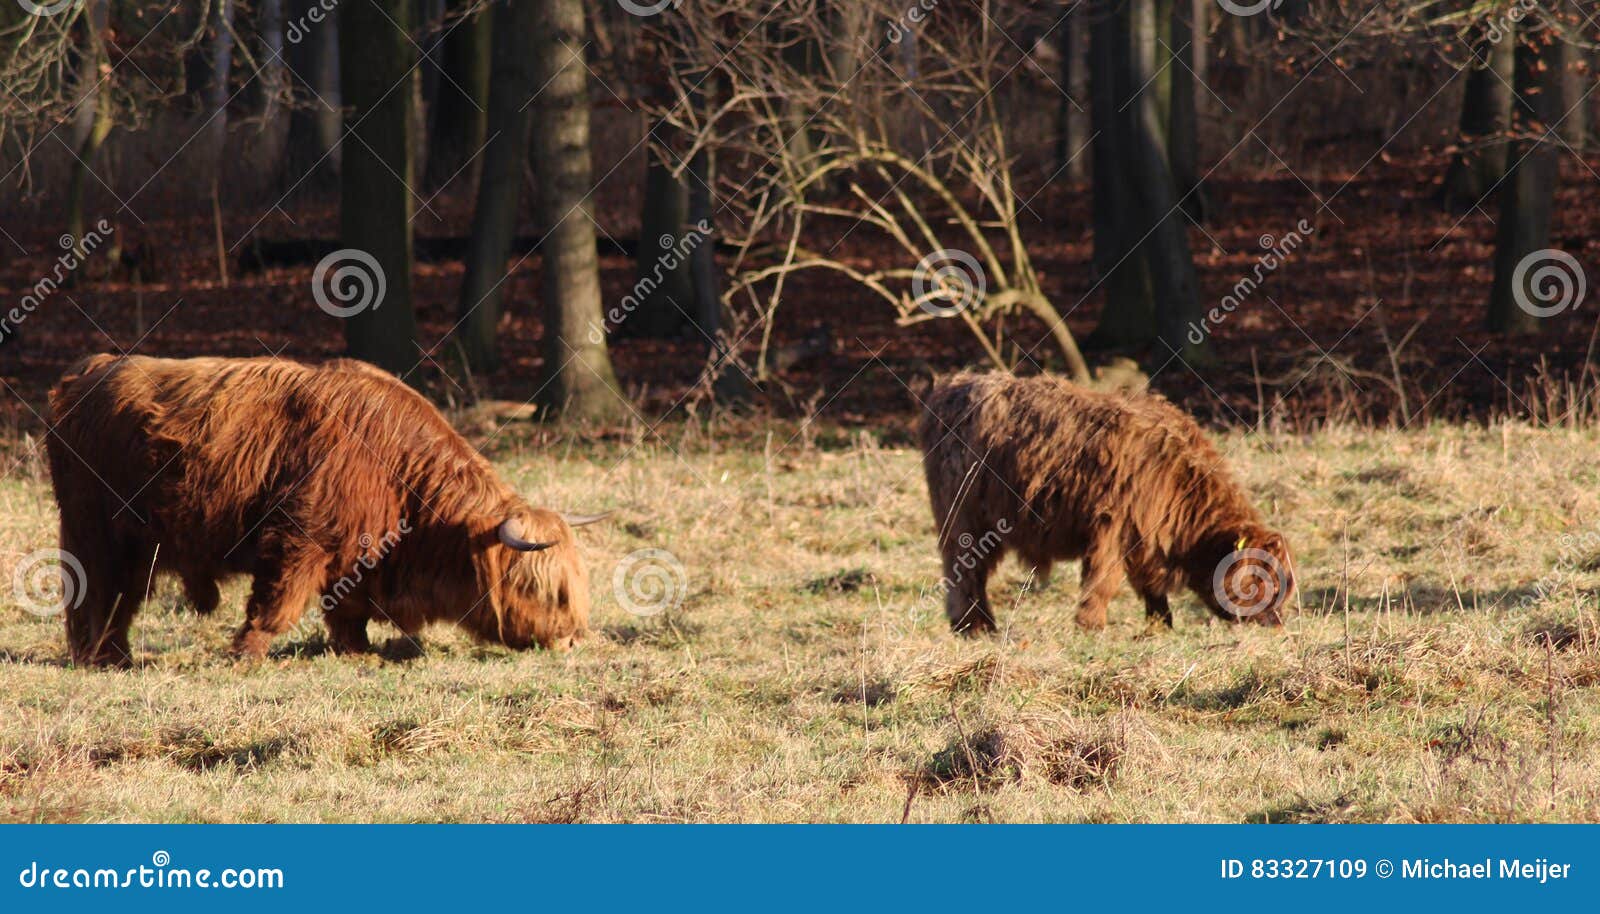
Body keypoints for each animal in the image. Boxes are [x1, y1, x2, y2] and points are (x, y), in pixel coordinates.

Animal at [46, 354, 603, 666]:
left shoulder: (358, 554)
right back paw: (102, 658)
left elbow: (347, 612)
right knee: (98, 596)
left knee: (120, 599)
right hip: (93, 531)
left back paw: (115, 656)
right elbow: (276, 600)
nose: (575, 641)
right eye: (546, 590)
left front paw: (357, 652)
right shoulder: (301, 537)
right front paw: (247, 655)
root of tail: (87, 371)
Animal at [918, 372, 1294, 634]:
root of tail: (953, 386)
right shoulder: (1113, 525)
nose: (1276, 623)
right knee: (965, 571)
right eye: (1266, 581)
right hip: (964, 518)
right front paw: (1091, 625)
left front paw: (1160, 624)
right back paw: (974, 626)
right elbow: (1102, 581)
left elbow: (1148, 584)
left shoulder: (1145, 536)